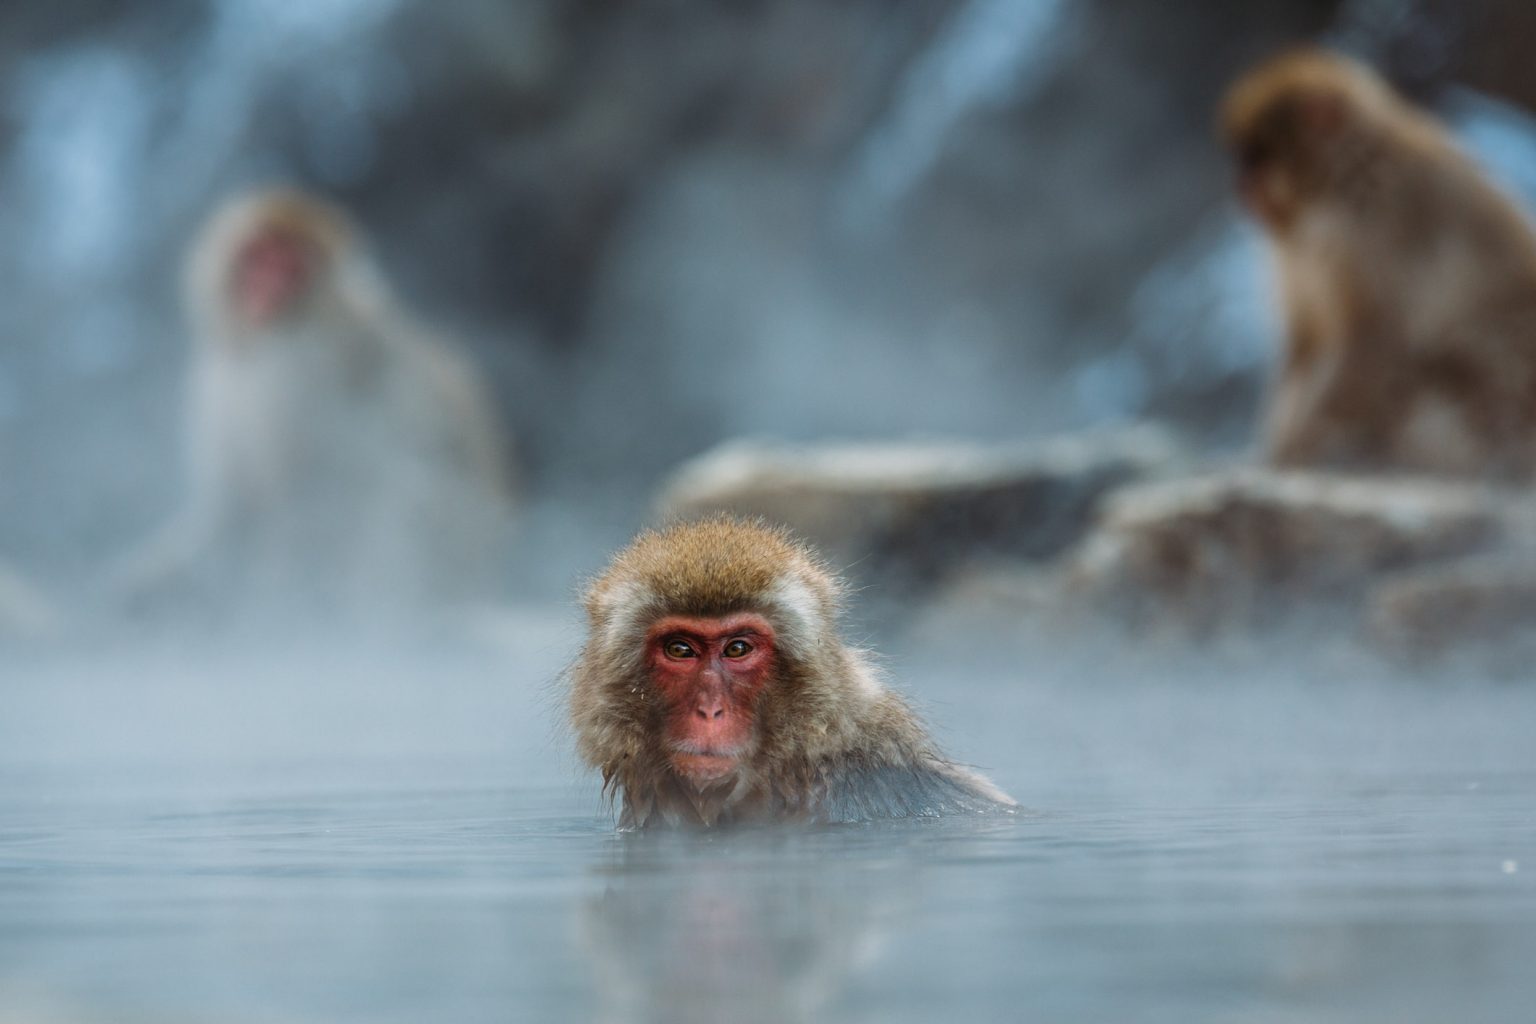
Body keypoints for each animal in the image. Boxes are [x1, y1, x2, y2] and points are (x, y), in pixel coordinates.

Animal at [110, 188, 515, 620]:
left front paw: (276, 600)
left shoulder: (297, 377)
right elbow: (230, 513)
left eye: (291, 267)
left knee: (399, 492)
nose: (265, 290)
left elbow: (304, 501)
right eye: (258, 254)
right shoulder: (219, 381)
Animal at [1221, 48, 1536, 479]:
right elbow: (1306, 342)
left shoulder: (1378, 230)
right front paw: (1279, 447)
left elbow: (1374, 343)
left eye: (1258, 156)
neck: (1341, 182)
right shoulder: (1296, 253)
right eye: (1245, 157)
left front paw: (1298, 447)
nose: (1242, 184)